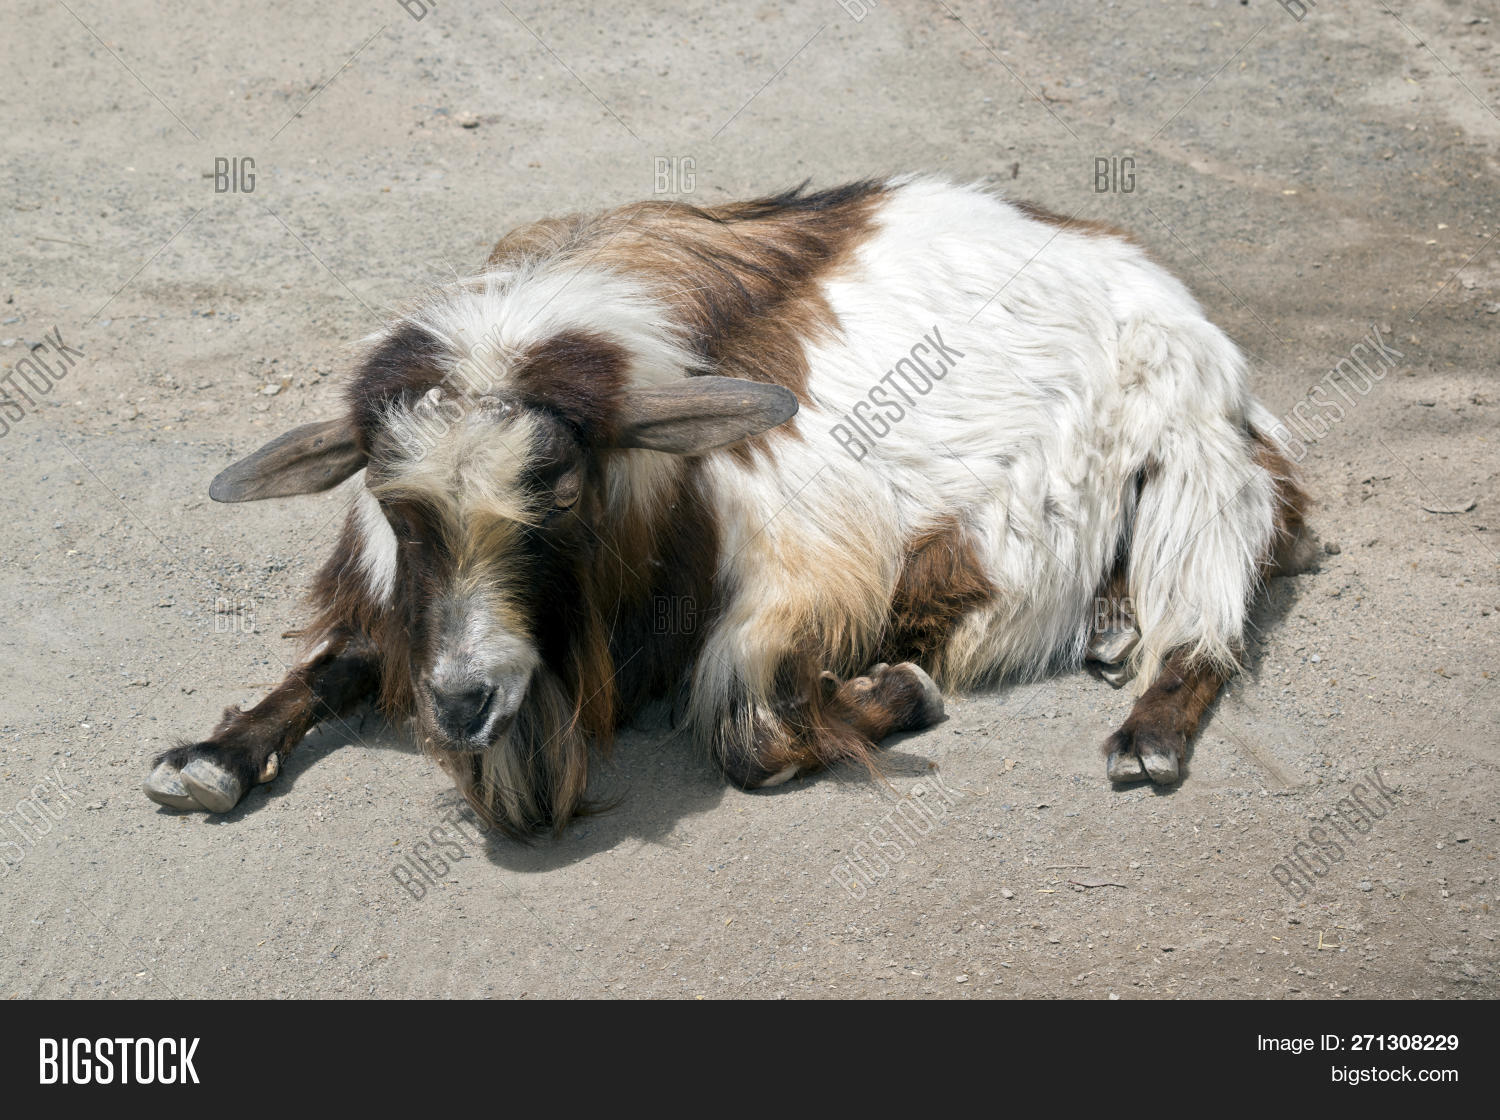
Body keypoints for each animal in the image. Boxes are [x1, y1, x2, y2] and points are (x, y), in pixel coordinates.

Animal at [144, 175, 1309, 835]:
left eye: (557, 493)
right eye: (397, 507)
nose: (466, 703)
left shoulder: (800, 572)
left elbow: (748, 739)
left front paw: (898, 691)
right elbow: (340, 659)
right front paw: (210, 757)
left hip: (1197, 459)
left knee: (1207, 614)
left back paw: (1148, 728)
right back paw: (1110, 628)